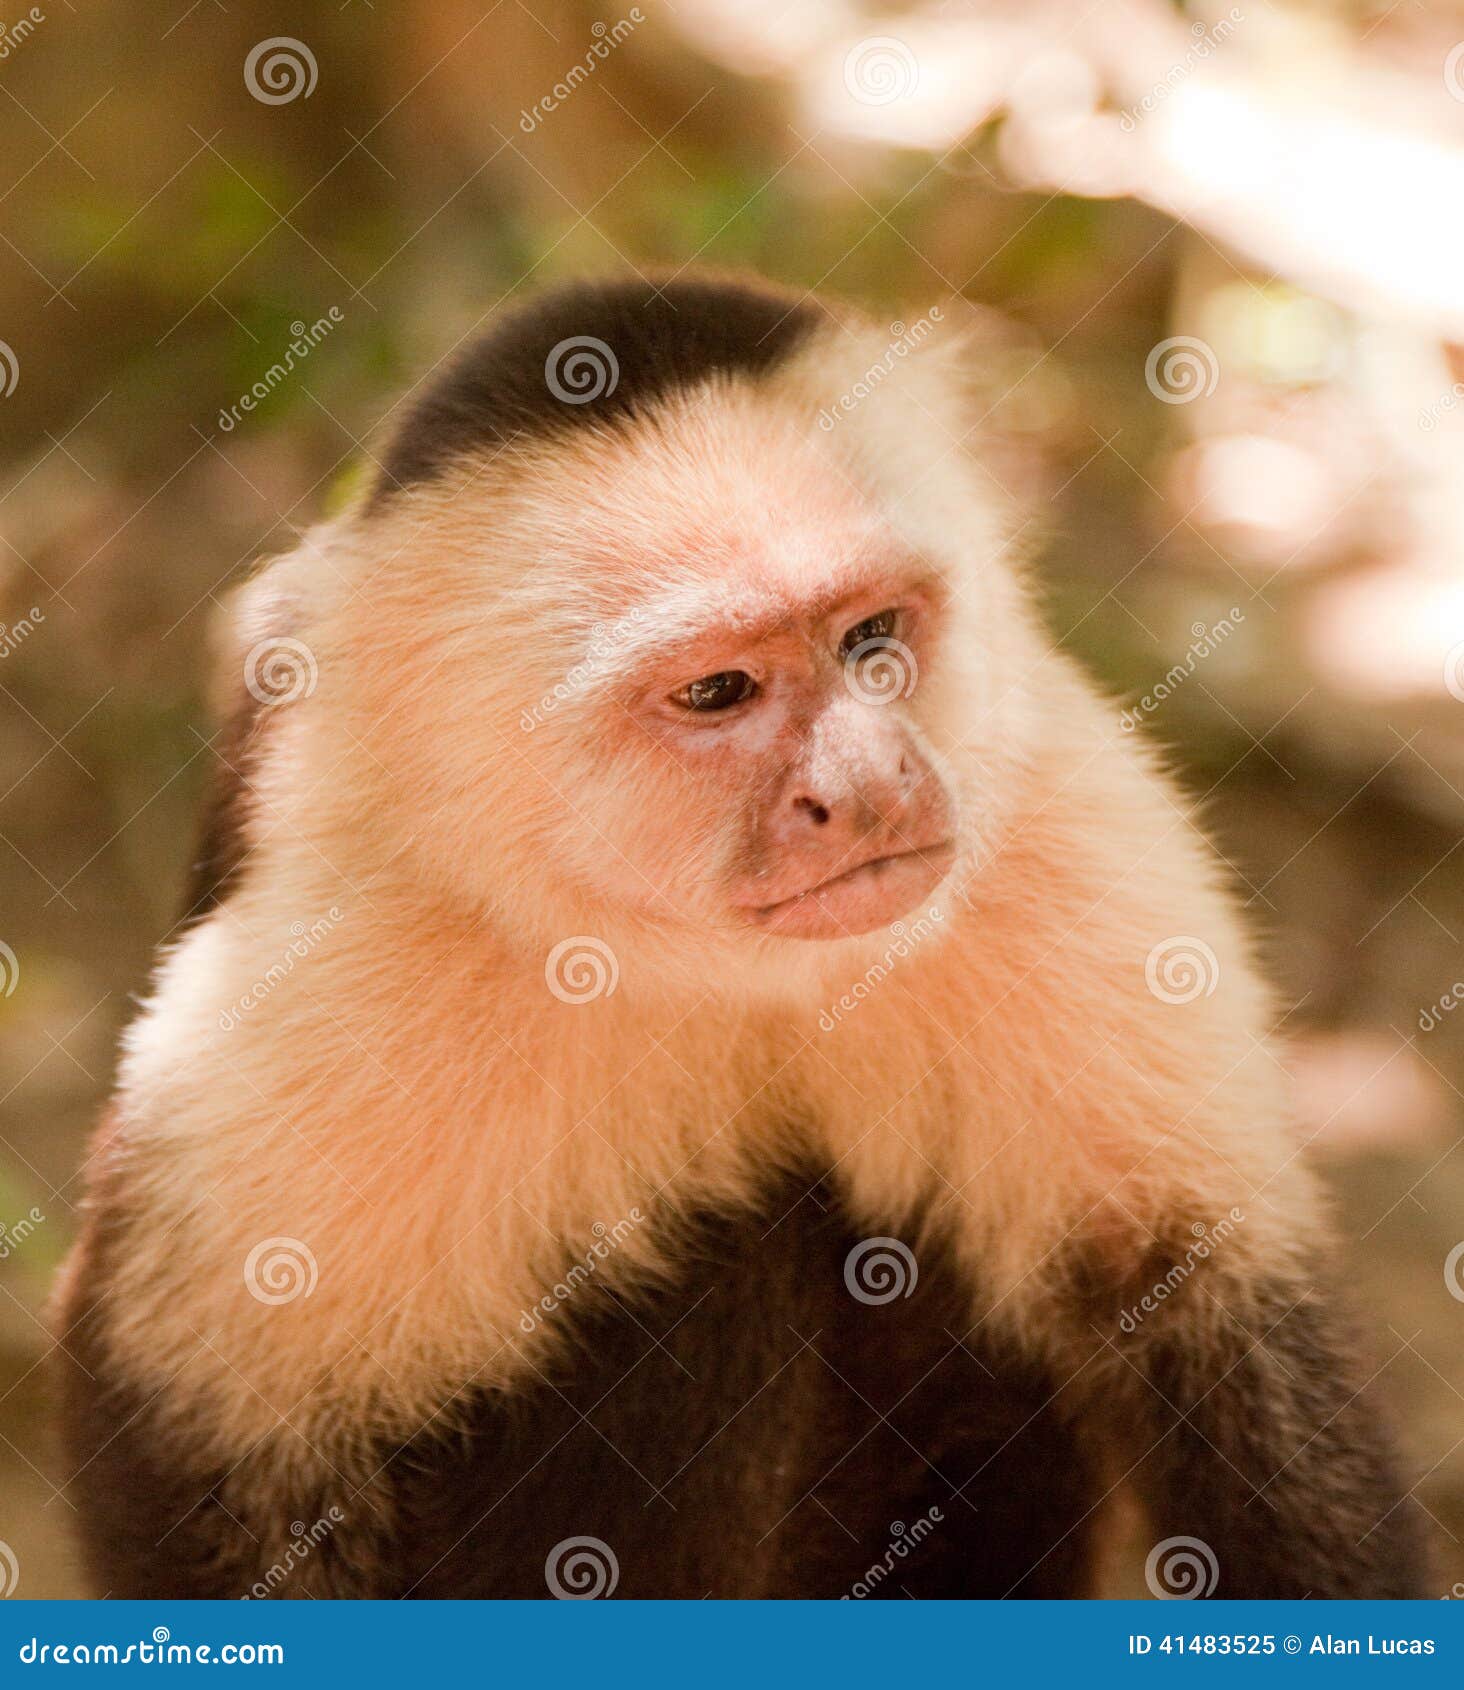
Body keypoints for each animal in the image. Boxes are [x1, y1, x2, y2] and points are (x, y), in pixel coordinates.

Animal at [54, 272, 1427, 1600]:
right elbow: (200, 1438)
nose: (869, 788)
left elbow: (1210, 1303)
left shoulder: (1050, 807)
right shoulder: (349, 942)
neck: (708, 954)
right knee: (730, 1237)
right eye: (720, 690)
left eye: (873, 637)